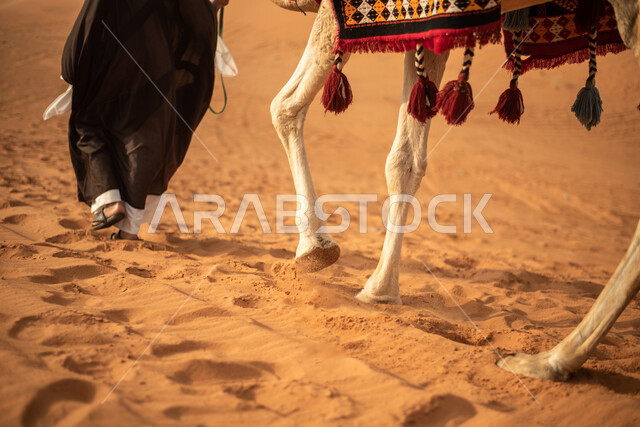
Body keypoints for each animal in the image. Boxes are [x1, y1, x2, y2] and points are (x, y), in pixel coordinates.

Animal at [266, 0, 640, 381]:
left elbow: (286, 106)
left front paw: (316, 247)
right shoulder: (424, 24)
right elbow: (405, 158)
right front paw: (382, 291)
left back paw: (544, 361)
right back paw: (553, 361)